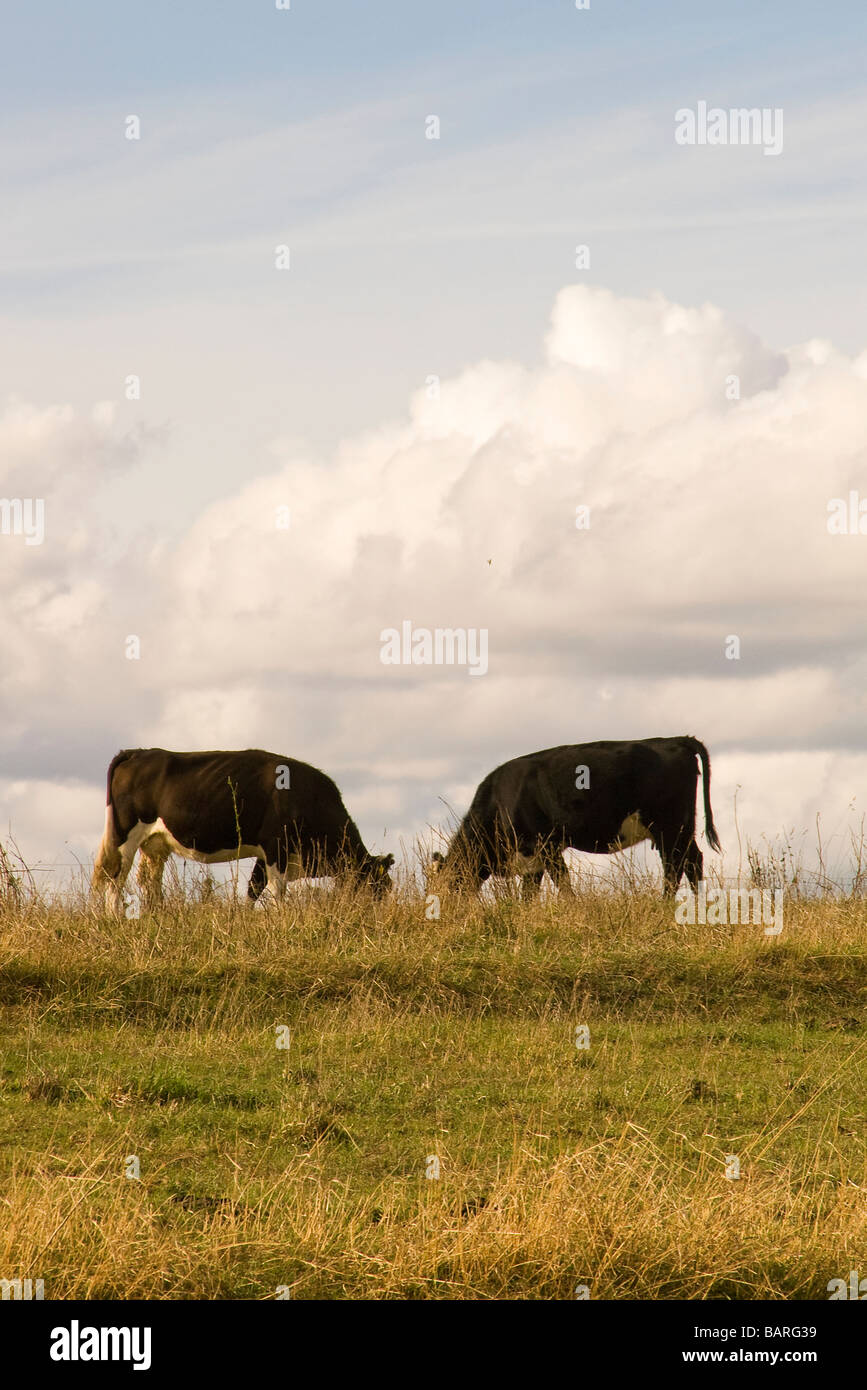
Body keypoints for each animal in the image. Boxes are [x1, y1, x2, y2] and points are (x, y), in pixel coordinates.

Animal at [91, 748, 394, 914]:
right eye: (378, 887)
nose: (381, 918)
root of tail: (138, 752)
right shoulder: (276, 846)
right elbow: (276, 891)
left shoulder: (265, 855)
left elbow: (253, 889)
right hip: (124, 836)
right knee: (114, 880)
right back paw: (115, 918)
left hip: (155, 844)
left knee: (149, 882)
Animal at [429, 736, 720, 897]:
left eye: (449, 885)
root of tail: (674, 739)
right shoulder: (532, 859)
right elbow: (529, 895)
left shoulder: (547, 845)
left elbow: (563, 884)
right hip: (681, 828)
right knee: (693, 862)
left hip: (669, 826)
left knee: (675, 867)